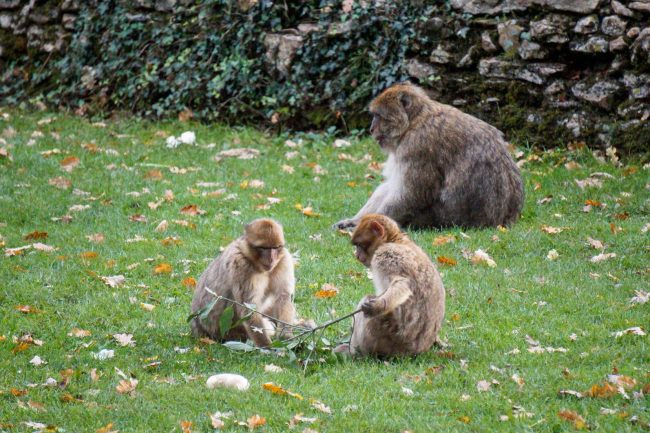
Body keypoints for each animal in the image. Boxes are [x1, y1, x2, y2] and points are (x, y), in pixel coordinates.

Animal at [190, 218, 299, 348]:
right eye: (264, 248)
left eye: (275, 247)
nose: (271, 259)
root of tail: (197, 328)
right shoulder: (241, 266)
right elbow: (249, 309)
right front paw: (268, 347)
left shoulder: (284, 260)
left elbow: (284, 297)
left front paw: (286, 336)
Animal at [334, 82, 524, 230]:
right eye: (374, 116)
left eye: (379, 116)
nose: (371, 129)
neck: (414, 121)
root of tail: (505, 220)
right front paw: (355, 221)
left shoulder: (418, 146)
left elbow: (411, 194)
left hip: (444, 219)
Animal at [334, 214, 445, 357]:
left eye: (360, 245)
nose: (357, 255)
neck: (395, 240)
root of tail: (416, 350)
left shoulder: (385, 255)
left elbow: (402, 284)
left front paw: (378, 305)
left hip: (387, 335)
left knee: (367, 301)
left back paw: (353, 352)